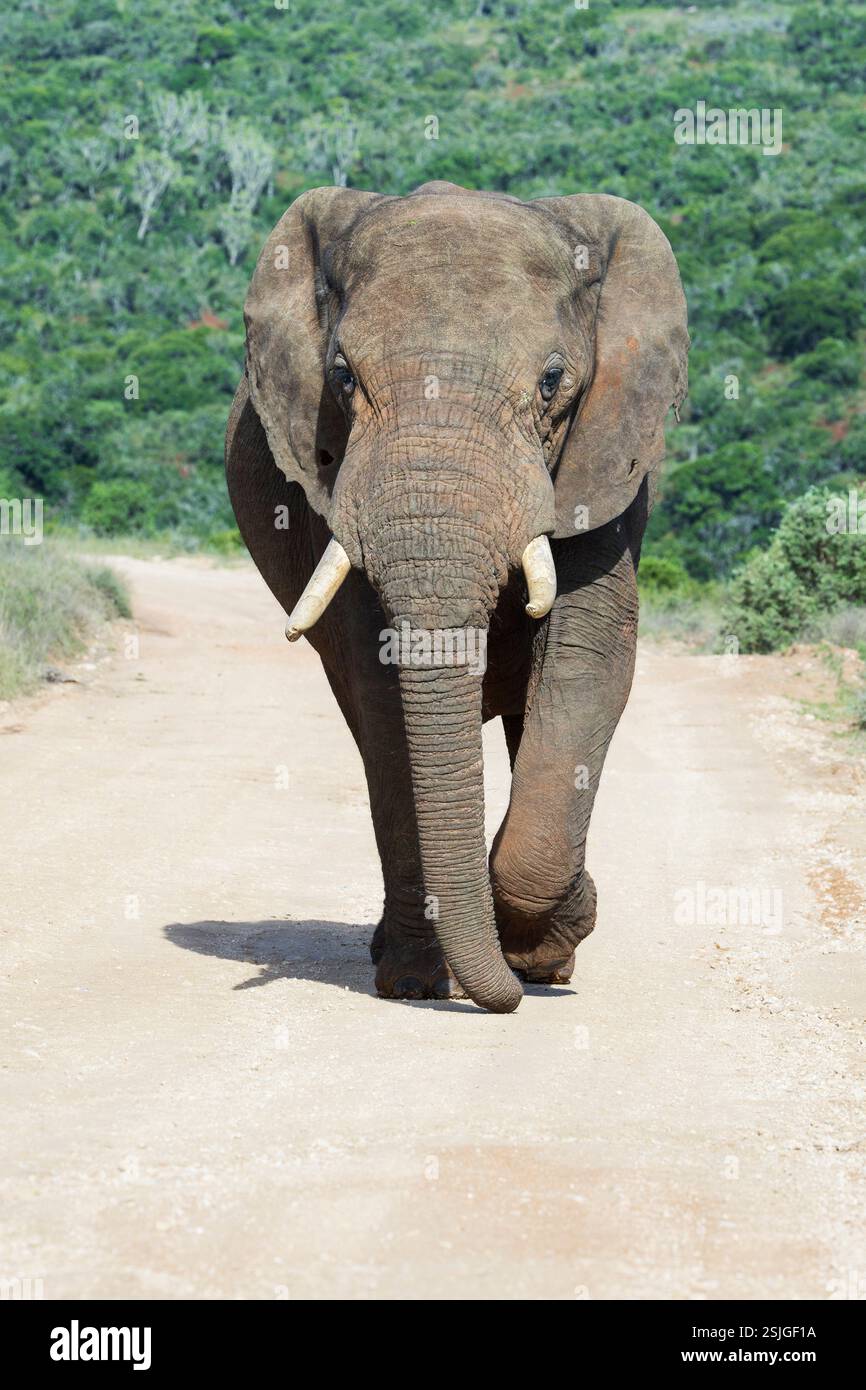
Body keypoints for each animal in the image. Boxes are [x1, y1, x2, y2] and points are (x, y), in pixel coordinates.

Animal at [226, 180, 689, 1014]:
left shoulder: (600, 462)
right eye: (343, 377)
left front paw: (546, 945)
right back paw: (410, 968)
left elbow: (587, 661)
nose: (501, 1000)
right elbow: (382, 688)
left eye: (553, 381)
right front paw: (425, 978)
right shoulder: (333, 489)